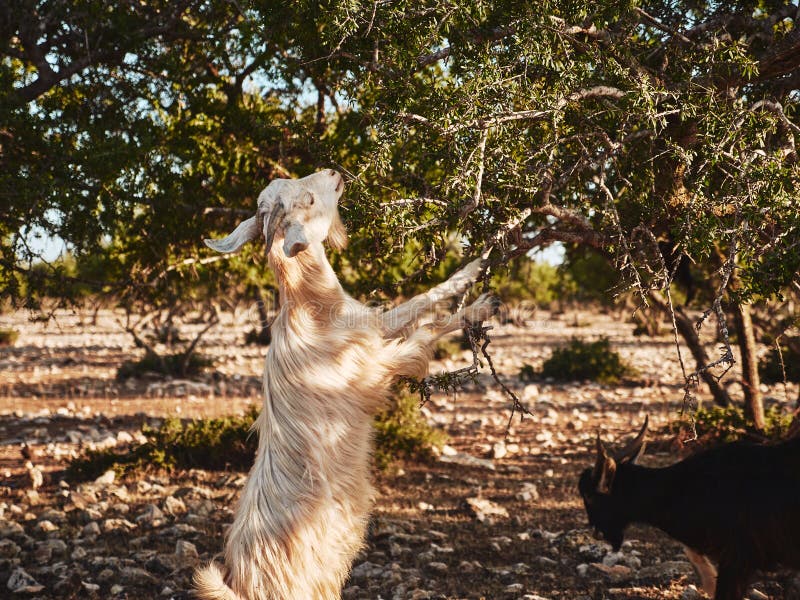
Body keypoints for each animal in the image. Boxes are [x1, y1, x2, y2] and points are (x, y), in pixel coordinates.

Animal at [194, 169, 498, 600]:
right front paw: (479, 307)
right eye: (307, 199)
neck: (314, 310)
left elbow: (421, 301)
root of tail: (243, 588)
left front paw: (476, 265)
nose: (334, 173)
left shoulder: (376, 326)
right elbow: (428, 328)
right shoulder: (375, 367)